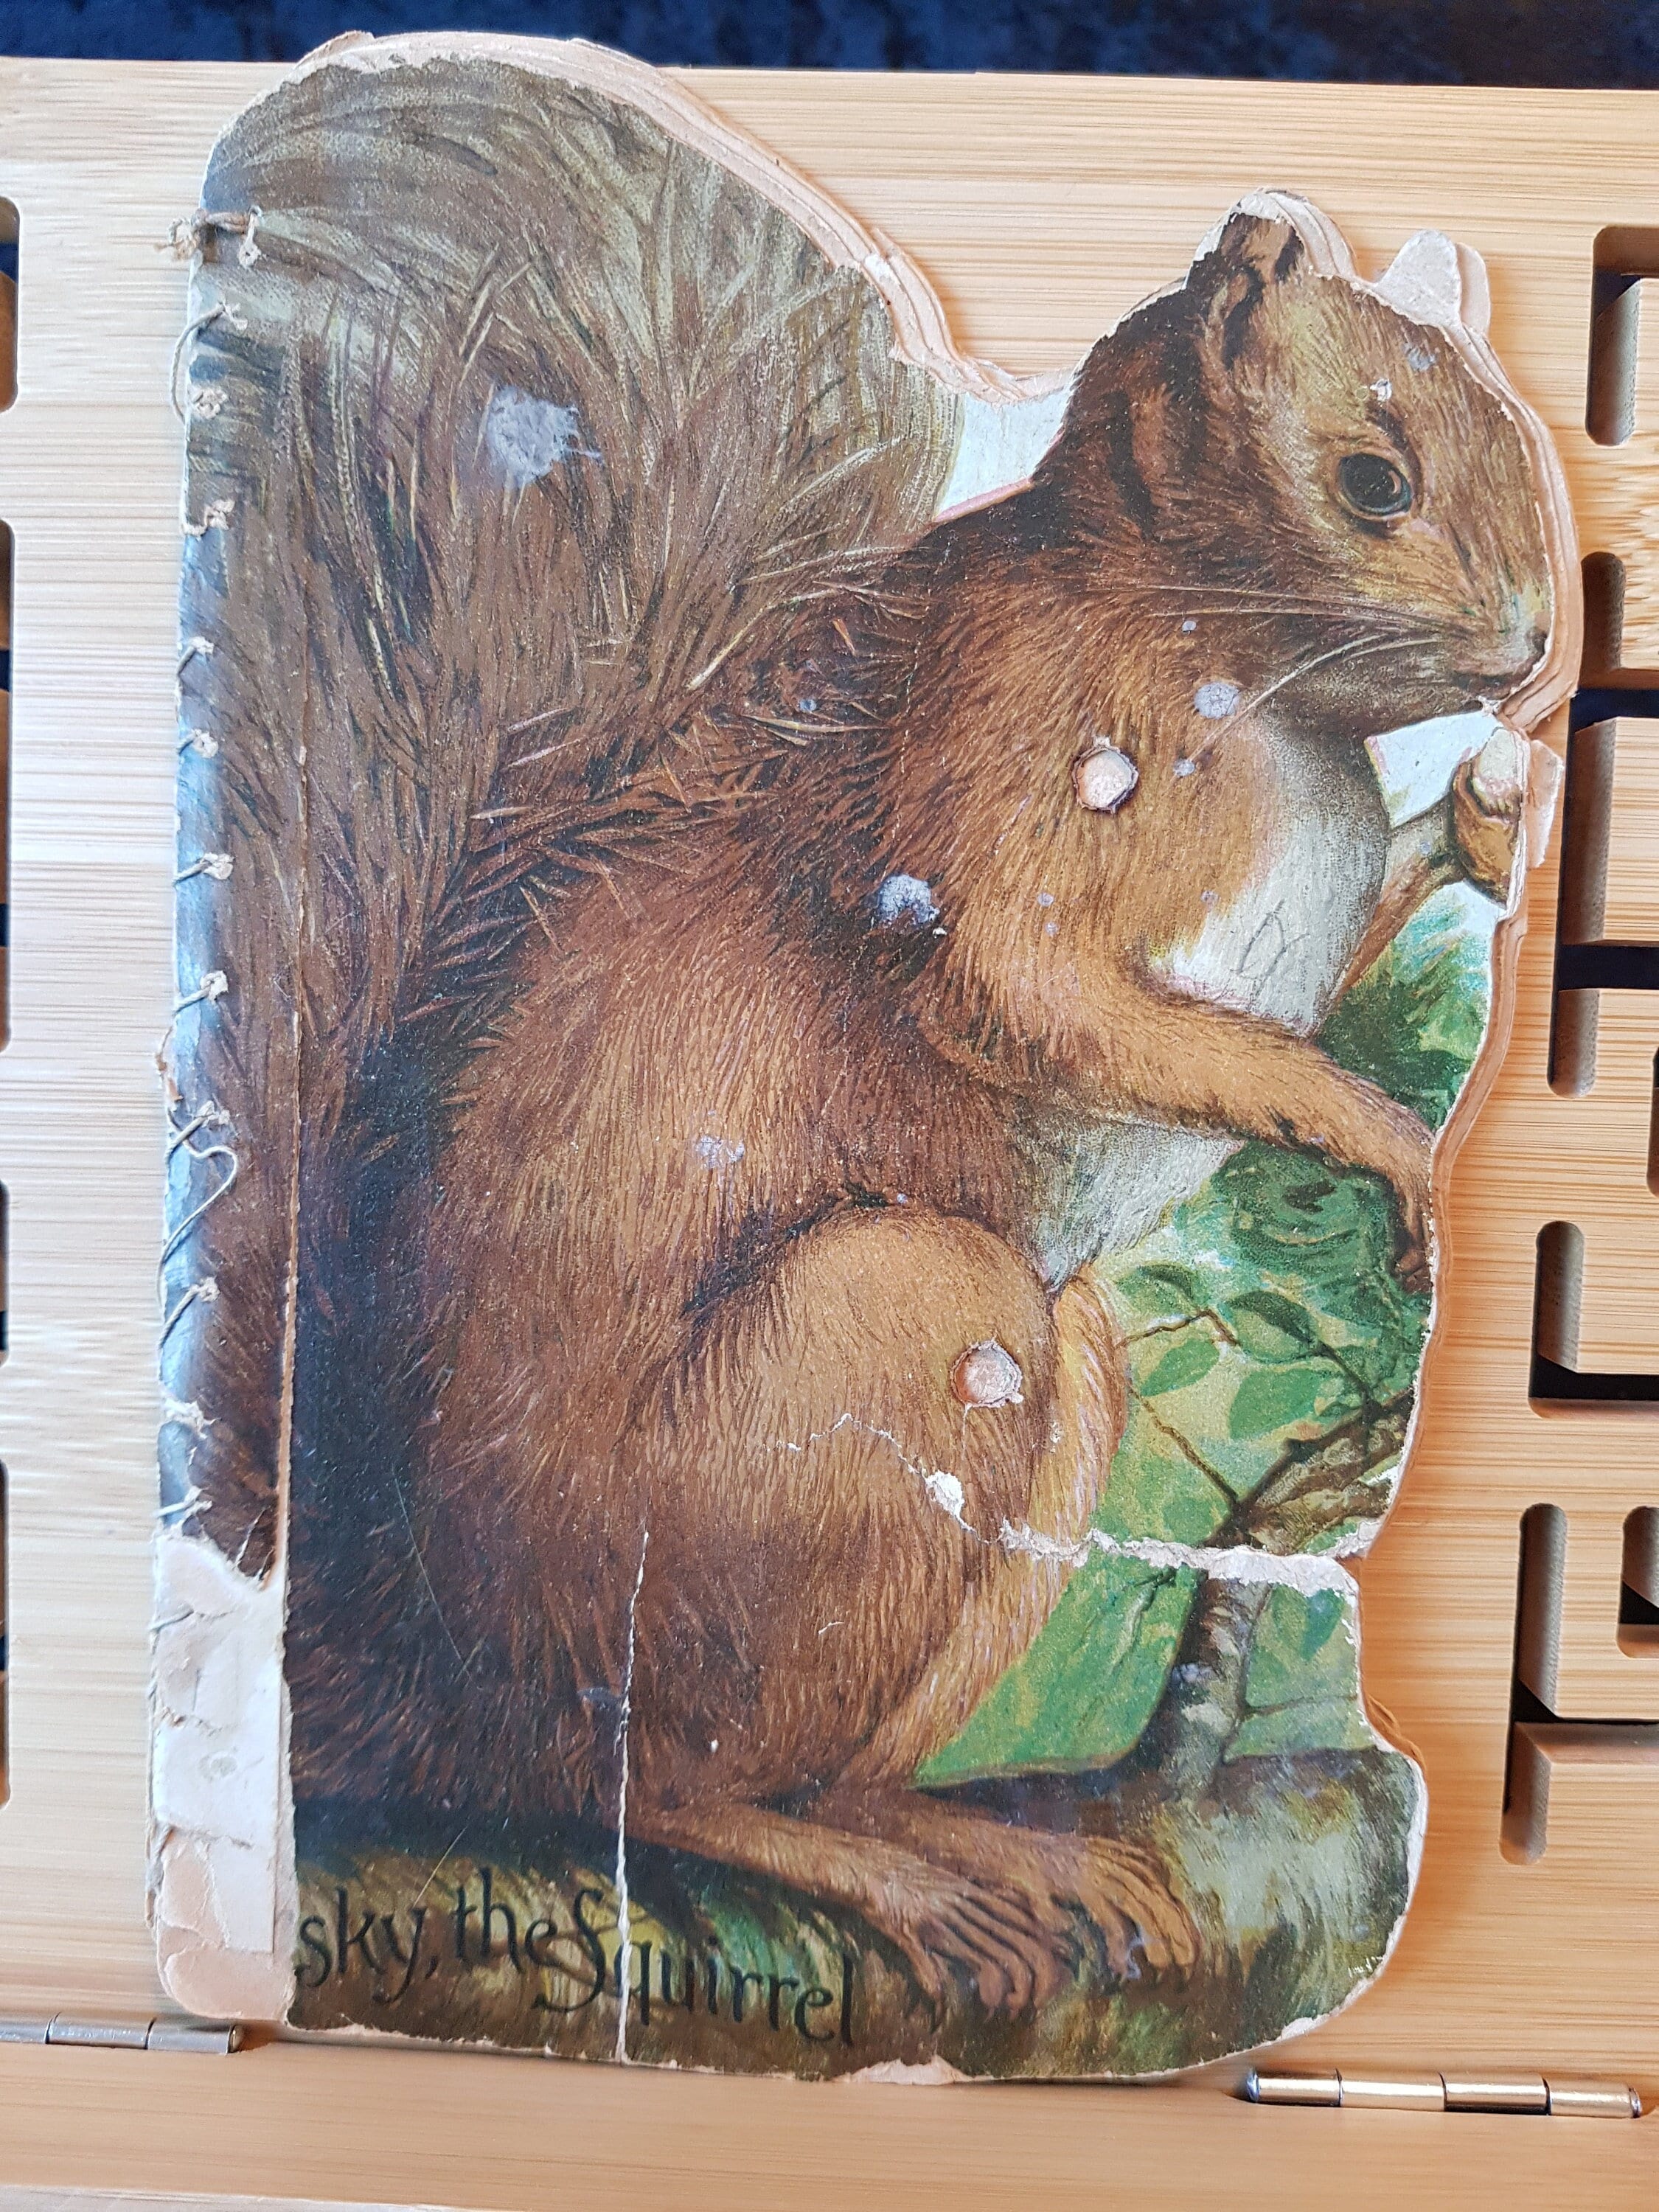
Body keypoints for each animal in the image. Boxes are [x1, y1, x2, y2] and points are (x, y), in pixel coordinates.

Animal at [169, 52, 1564, 2025]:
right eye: (1373, 479)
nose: (1532, 657)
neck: (1231, 671)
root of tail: (408, 1678)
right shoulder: (1004, 752)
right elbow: (1013, 986)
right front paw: (1372, 1122)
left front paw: (1481, 832)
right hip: (890, 1343)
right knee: (642, 1784)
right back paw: (853, 1861)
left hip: (1044, 1400)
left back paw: (971, 1842)